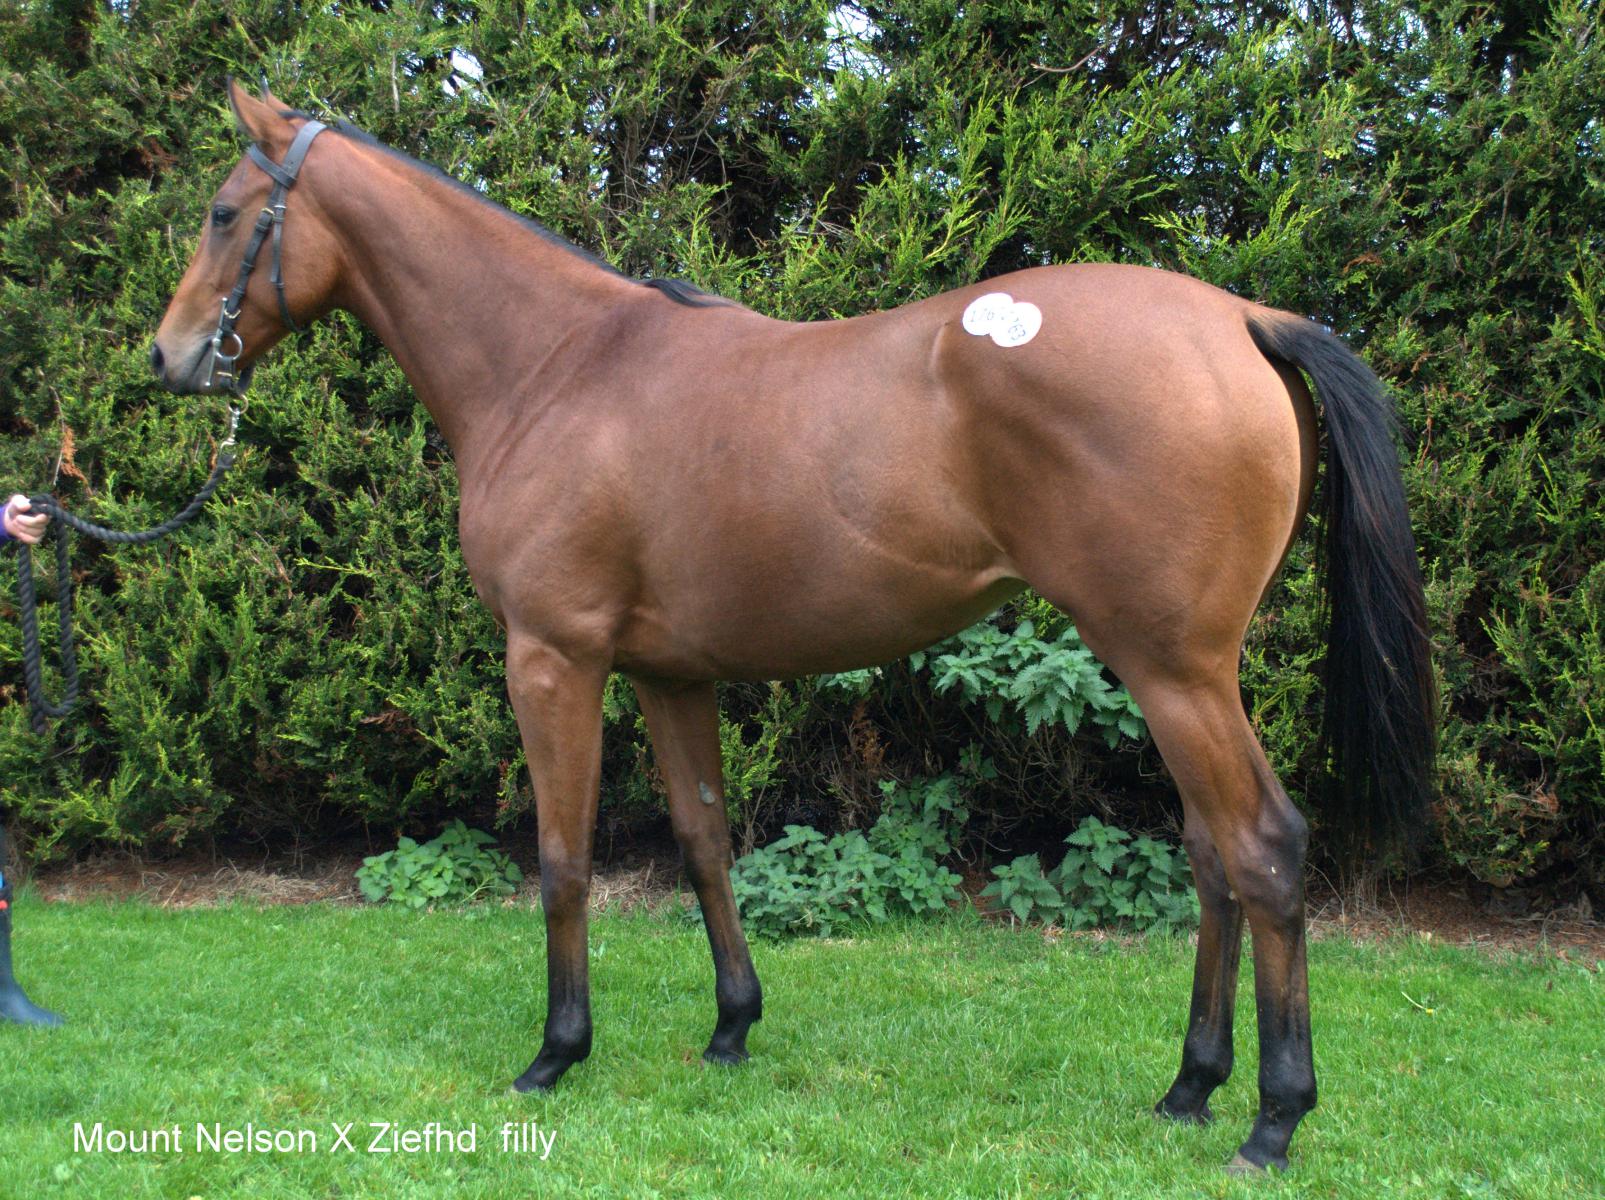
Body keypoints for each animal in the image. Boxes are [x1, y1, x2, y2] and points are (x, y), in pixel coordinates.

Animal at [150, 80, 1435, 1173]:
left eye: (224, 213)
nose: (169, 358)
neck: (555, 368)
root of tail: (1245, 316)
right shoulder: (668, 673)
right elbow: (705, 839)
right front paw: (732, 1027)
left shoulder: (554, 658)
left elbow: (563, 859)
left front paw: (557, 1053)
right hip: (1172, 674)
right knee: (1213, 857)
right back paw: (1190, 1087)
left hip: (1176, 670)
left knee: (1262, 848)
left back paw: (1272, 1119)